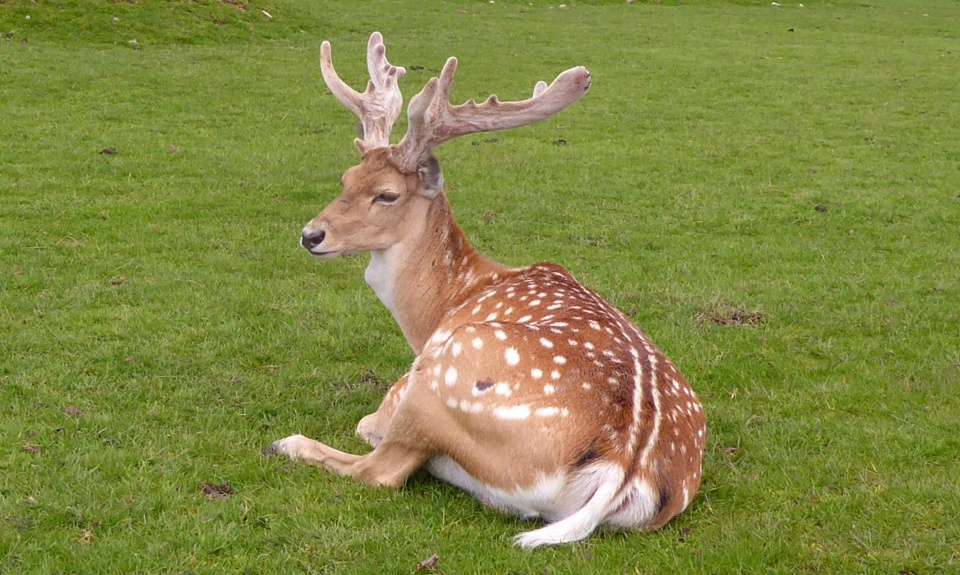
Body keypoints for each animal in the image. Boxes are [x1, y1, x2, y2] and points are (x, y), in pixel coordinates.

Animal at [269, 32, 706, 548]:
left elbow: (365, 426)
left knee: (380, 472)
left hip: (441, 376)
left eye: (387, 194)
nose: (311, 235)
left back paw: (290, 442)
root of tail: (624, 463)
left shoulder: (405, 385)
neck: (446, 304)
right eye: (346, 179)